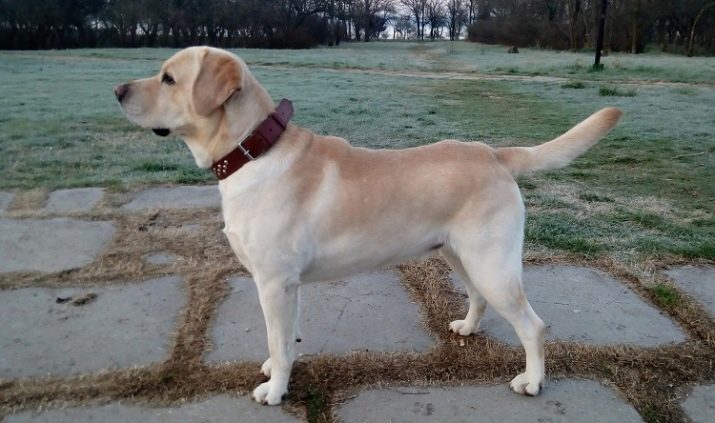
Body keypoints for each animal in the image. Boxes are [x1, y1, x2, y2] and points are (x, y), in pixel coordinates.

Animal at [116, 45, 620, 404]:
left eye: (168, 78)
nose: (118, 91)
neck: (252, 151)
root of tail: (494, 153)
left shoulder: (274, 283)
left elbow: (278, 342)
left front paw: (275, 391)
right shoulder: (288, 286)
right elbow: (285, 340)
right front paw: (278, 370)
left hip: (491, 263)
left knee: (533, 326)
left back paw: (532, 382)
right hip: (462, 257)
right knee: (479, 299)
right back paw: (467, 328)